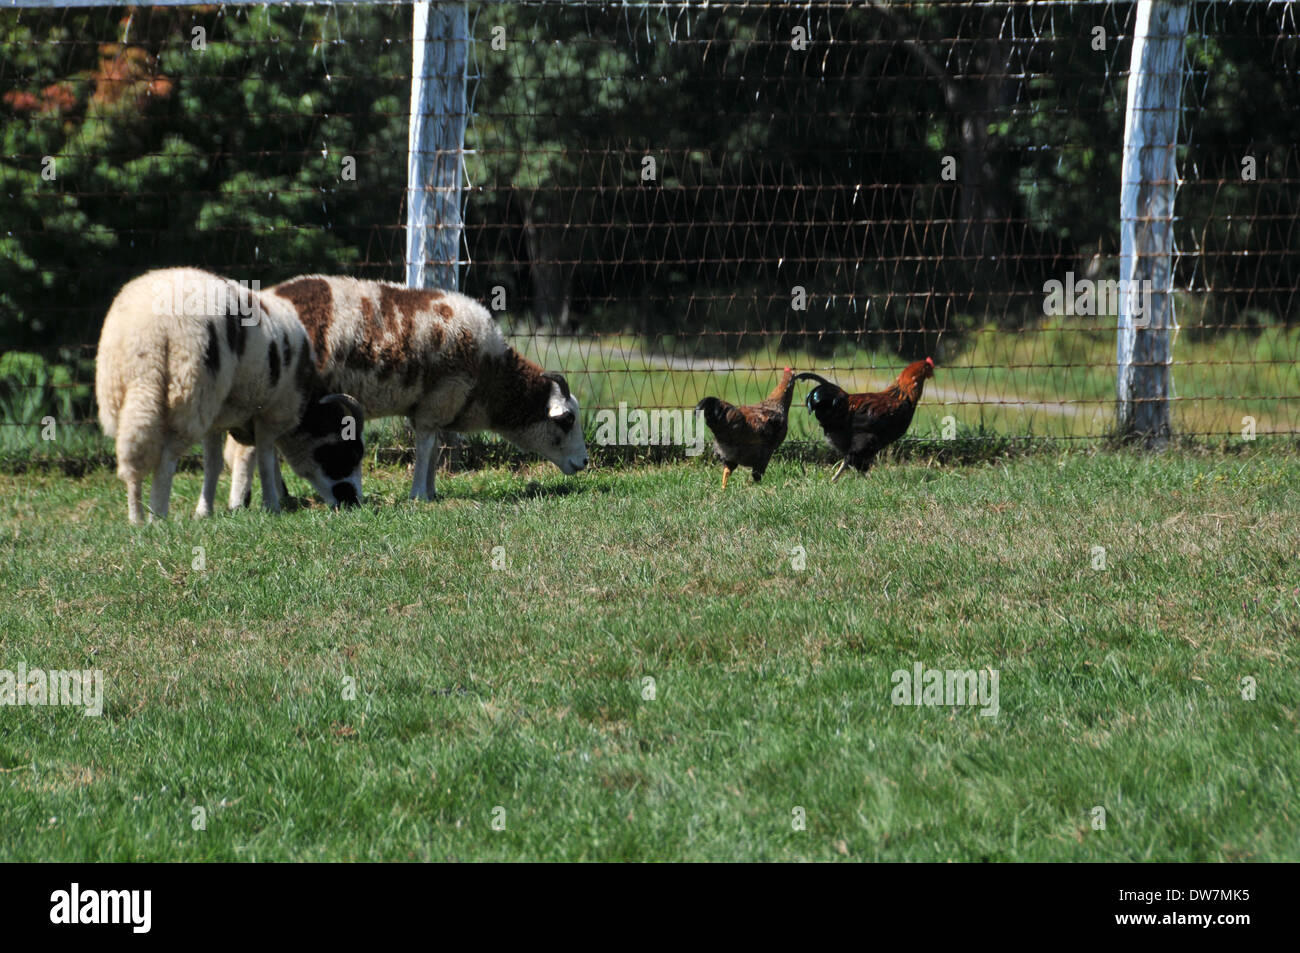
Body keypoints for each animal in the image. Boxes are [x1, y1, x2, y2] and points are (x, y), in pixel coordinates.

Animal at [95, 267, 366, 523]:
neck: (305, 404)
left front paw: (204, 511)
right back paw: (157, 515)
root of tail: (149, 327)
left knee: (132, 452)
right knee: (167, 458)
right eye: (350, 452)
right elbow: (266, 461)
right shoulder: (271, 412)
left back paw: (137, 517)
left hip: (131, 391)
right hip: (190, 391)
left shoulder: (218, 418)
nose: (353, 503)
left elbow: (213, 465)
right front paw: (272, 505)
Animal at [225, 276, 587, 504]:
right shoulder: (438, 400)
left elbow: (435, 447)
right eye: (567, 419)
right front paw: (419, 495)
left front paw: (431, 490)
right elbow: (426, 447)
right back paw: (246, 502)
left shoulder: (433, 406)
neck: (491, 374)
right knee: (249, 448)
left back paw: (282, 497)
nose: (583, 463)